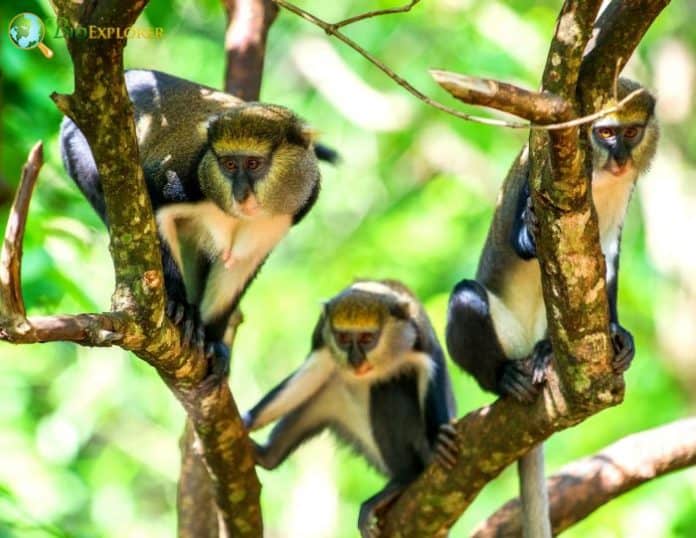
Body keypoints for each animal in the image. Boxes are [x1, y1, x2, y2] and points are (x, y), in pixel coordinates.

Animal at [60, 69, 333, 381]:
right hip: (78, 148)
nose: (241, 194)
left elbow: (237, 267)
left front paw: (214, 341)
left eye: (253, 164)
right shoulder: (182, 179)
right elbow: (153, 211)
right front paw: (180, 306)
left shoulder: (291, 213)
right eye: (229, 165)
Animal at [243, 279, 458, 537]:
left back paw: (405, 479)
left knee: (387, 387)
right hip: (333, 405)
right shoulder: (323, 339)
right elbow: (310, 376)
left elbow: (432, 368)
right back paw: (267, 456)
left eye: (366, 339)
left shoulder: (420, 338)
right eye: (344, 338)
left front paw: (438, 441)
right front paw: (247, 421)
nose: (355, 360)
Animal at [445, 78, 658, 538]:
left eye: (631, 133)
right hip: (503, 333)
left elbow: (607, 260)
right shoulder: (537, 167)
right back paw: (507, 377)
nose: (620, 159)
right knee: (467, 297)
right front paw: (528, 229)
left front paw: (618, 336)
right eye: (606, 133)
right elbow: (522, 240)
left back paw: (546, 354)